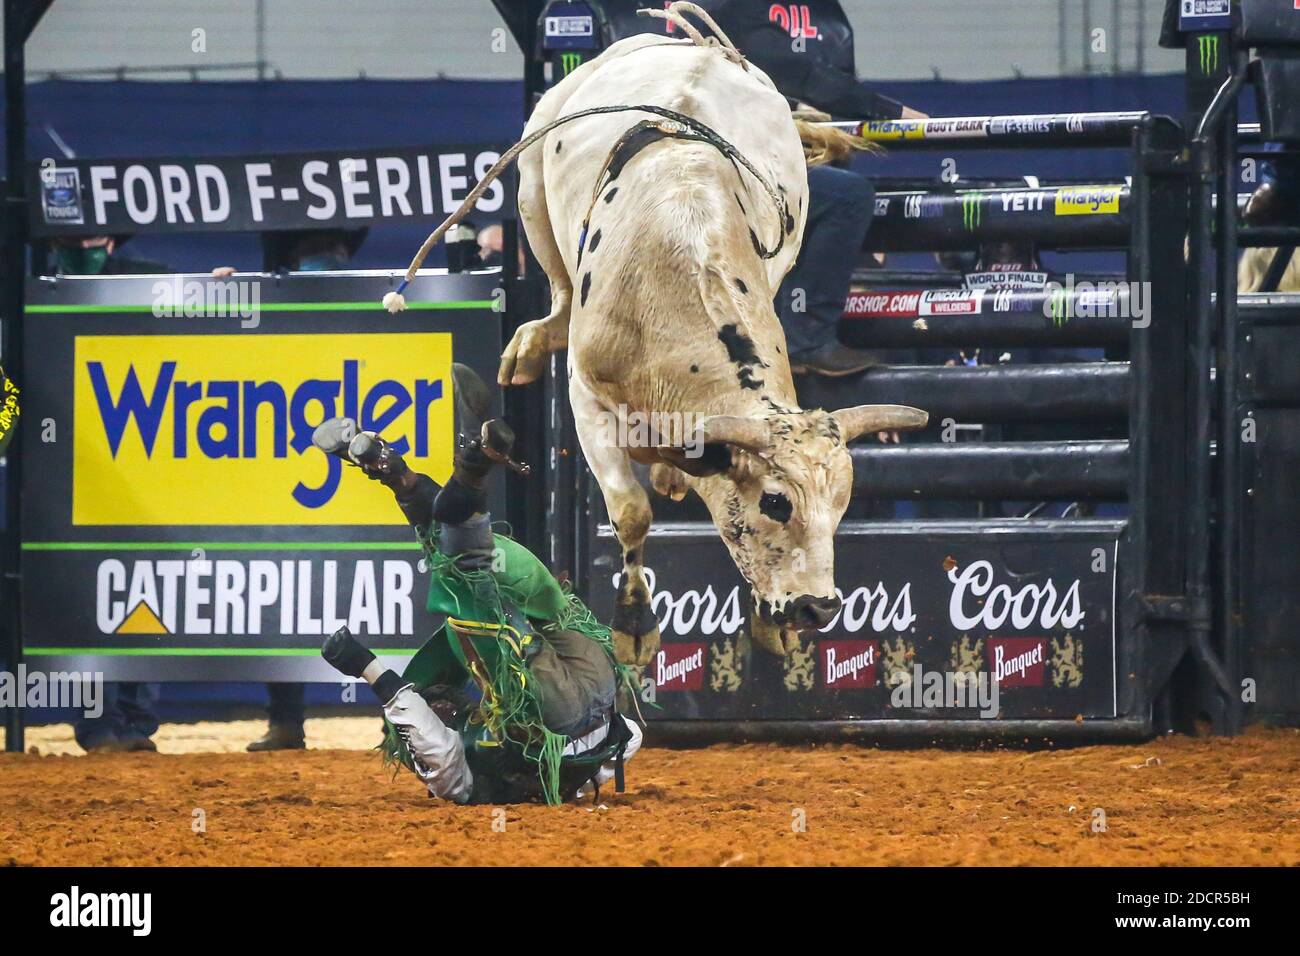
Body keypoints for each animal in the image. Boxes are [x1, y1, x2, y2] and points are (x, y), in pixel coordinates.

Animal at [497, 9, 927, 666]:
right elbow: (629, 512)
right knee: (558, 286)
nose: (818, 607)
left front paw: (769, 621)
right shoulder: (586, 396)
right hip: (531, 172)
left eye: (842, 503)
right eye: (776, 501)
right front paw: (633, 627)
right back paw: (531, 342)